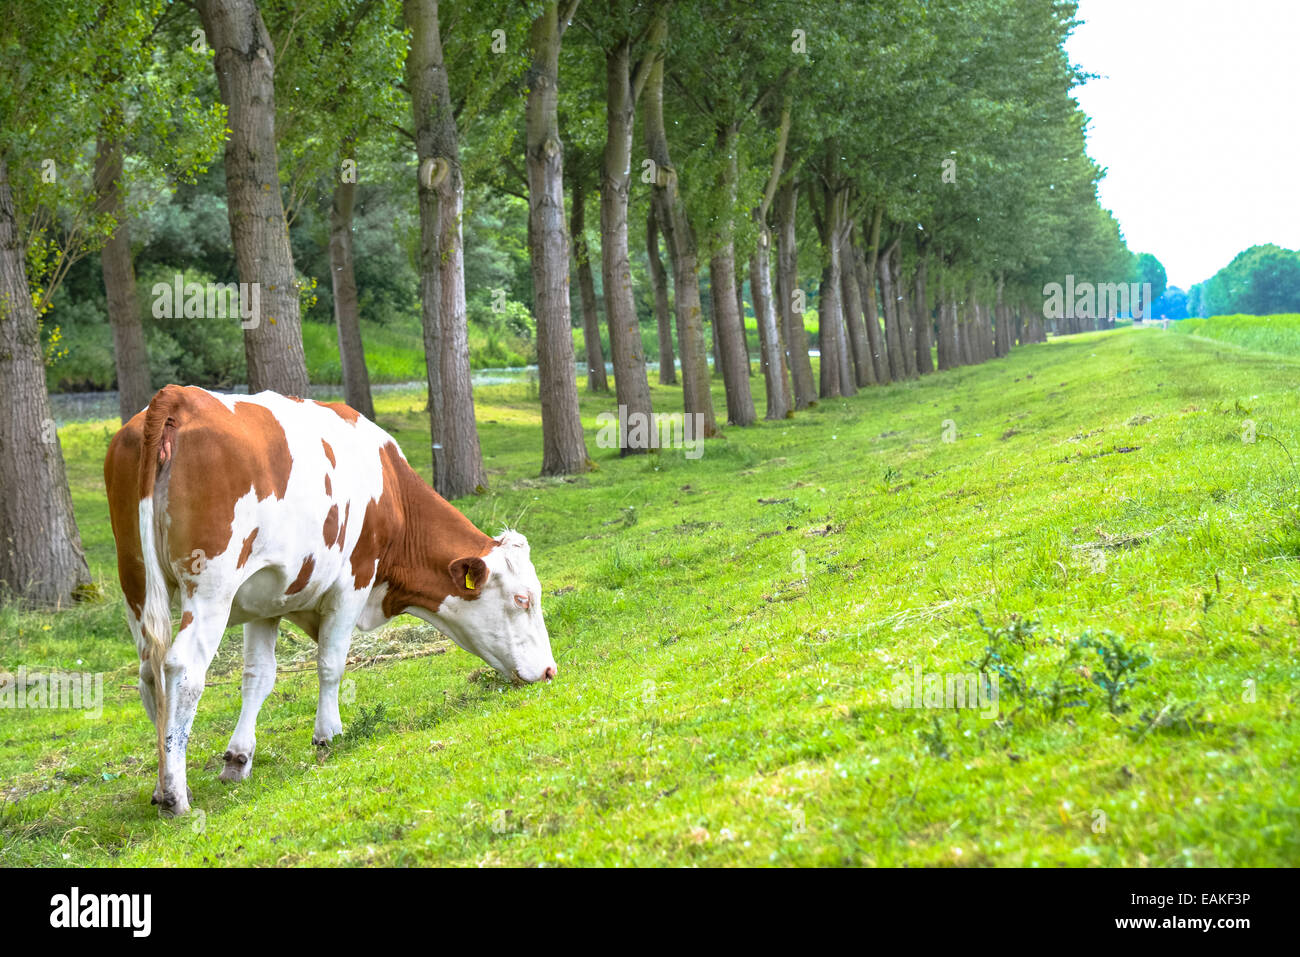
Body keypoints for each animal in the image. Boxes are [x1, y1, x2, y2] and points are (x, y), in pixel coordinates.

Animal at [104, 385, 556, 816]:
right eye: (522, 599)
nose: (550, 670)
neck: (392, 491)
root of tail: (179, 397)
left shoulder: (266, 597)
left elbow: (258, 677)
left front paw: (238, 758)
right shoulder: (354, 579)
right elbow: (331, 663)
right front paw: (328, 734)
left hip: (136, 581)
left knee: (150, 676)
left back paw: (163, 782)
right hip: (211, 586)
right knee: (183, 670)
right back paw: (175, 795)